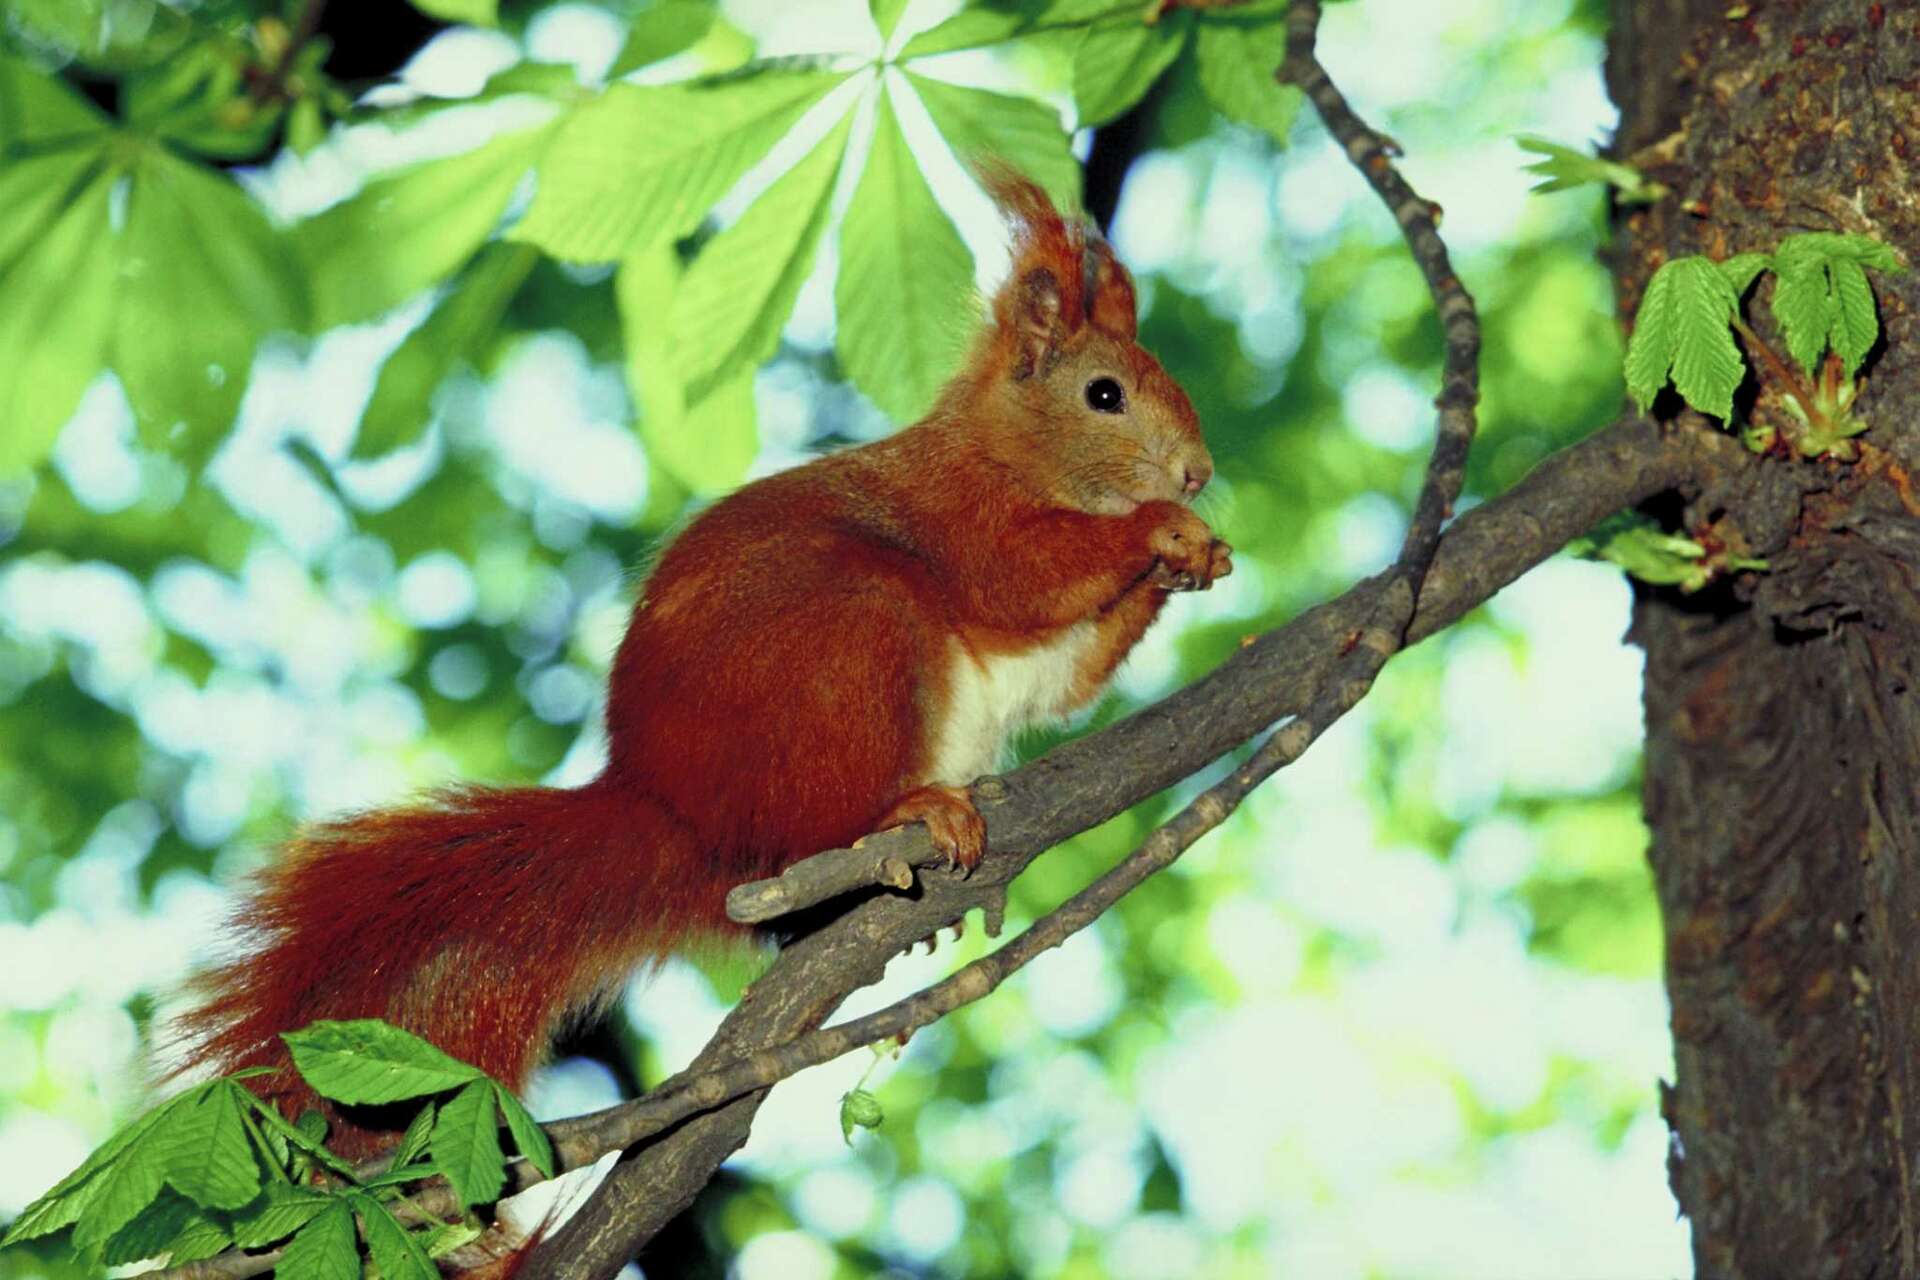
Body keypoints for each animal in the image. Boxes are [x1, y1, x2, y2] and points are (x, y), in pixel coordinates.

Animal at [171, 171, 1231, 1156]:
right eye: (1104, 394)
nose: (1198, 474)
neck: (1012, 454)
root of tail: (677, 814)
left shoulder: (1044, 645)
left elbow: (1071, 678)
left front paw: (1196, 558)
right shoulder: (960, 517)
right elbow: (1027, 576)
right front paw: (1160, 531)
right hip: (850, 648)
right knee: (820, 816)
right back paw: (906, 812)